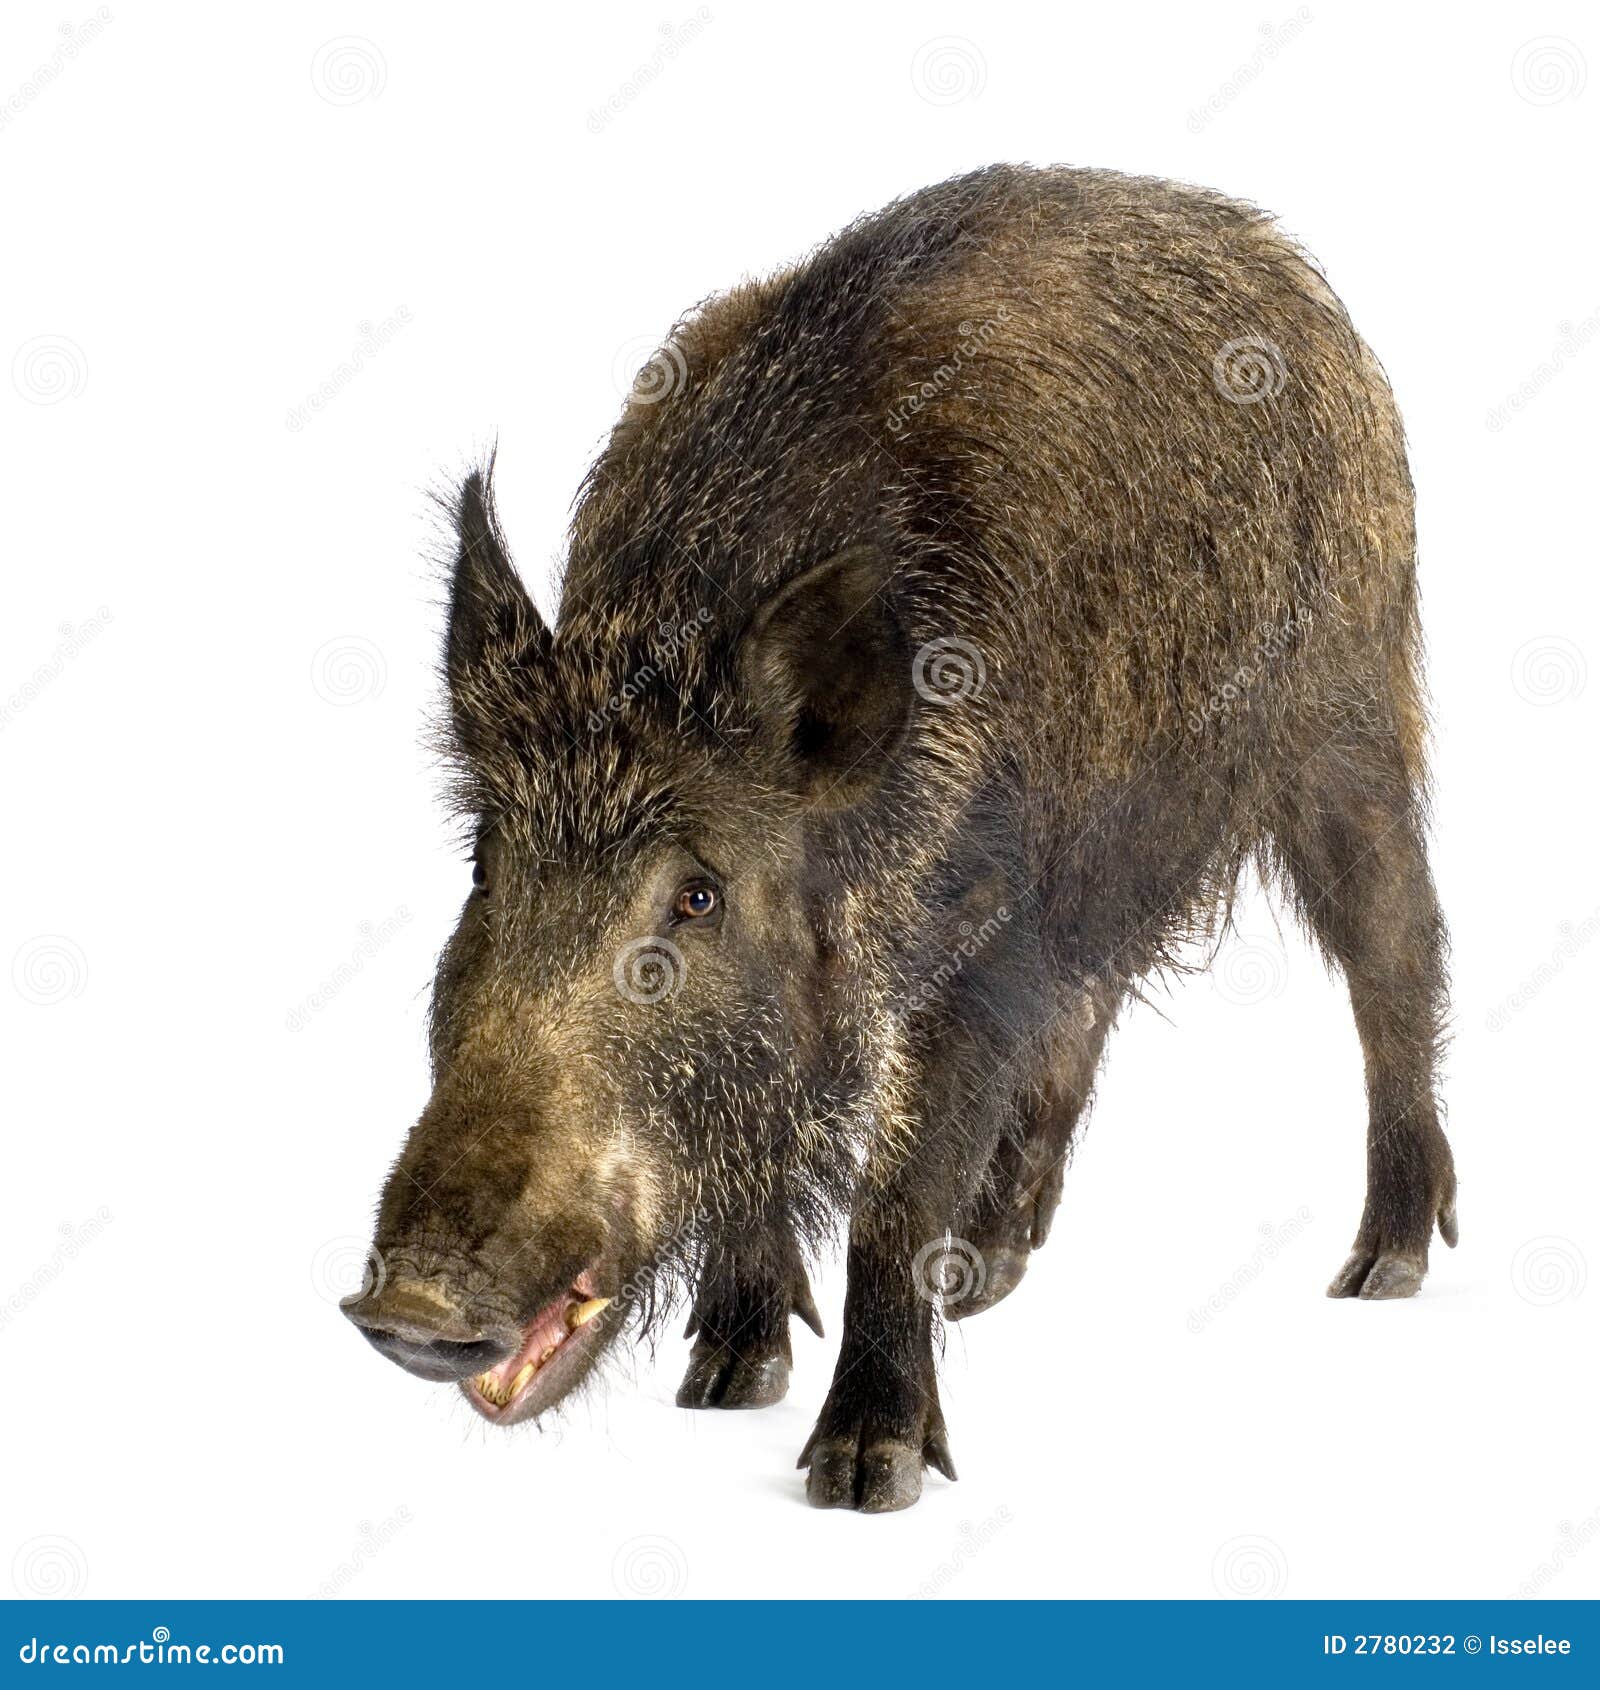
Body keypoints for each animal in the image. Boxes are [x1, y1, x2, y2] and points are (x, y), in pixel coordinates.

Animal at [342, 164, 1457, 1512]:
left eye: (697, 896)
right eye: (484, 870)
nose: (407, 1306)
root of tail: (1269, 252)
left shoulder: (984, 941)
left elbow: (898, 1184)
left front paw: (863, 1479)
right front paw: (724, 1385)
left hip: (1347, 705)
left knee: (1393, 947)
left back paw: (1380, 1271)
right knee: (1092, 996)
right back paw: (985, 1277)